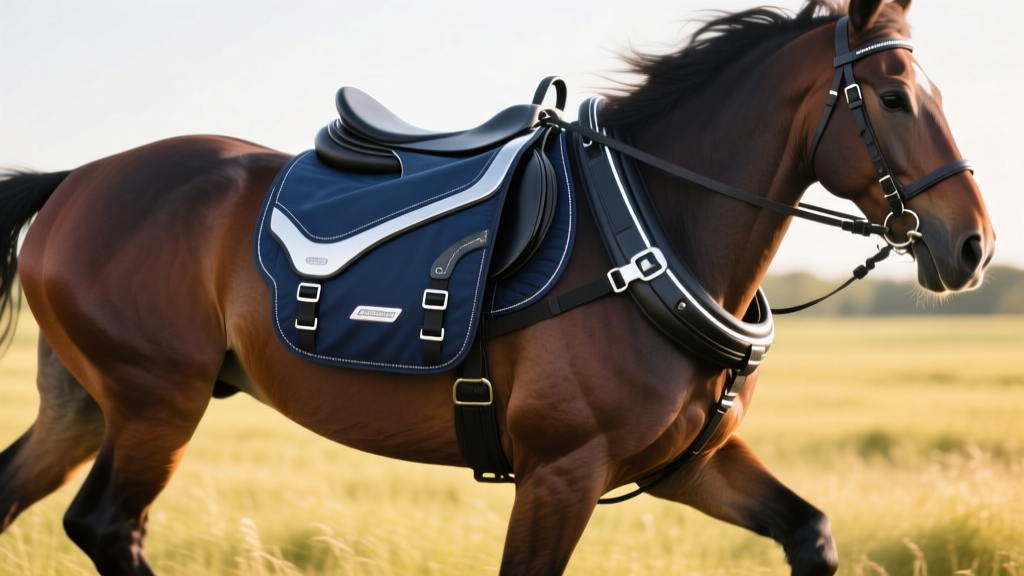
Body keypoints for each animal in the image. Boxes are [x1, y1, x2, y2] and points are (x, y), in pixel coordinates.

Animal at [0, 0, 995, 574]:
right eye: (894, 97)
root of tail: (76, 178)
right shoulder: (562, 474)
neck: (642, 235)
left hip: (88, 407)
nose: (975, 246)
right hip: (156, 405)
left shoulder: (684, 467)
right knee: (108, 528)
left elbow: (810, 532)